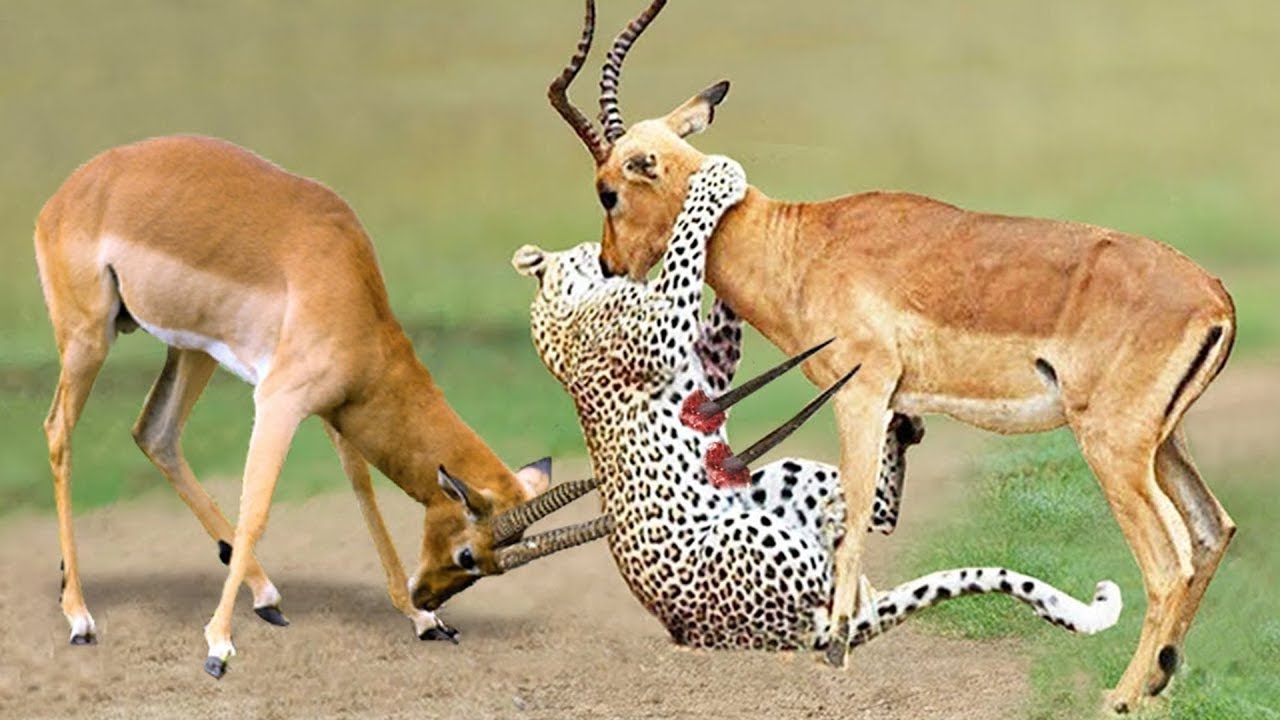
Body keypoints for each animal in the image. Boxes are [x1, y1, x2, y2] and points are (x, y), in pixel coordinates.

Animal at [34, 134, 612, 679]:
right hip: (89, 338)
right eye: (468, 555)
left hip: (192, 349)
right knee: (59, 429)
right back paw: (80, 618)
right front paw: (218, 648)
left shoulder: (337, 410)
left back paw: (267, 596)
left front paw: (422, 621)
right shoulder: (279, 401)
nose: (426, 594)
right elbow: (258, 508)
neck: (345, 283)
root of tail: (65, 196)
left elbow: (365, 496)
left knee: (155, 432)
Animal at [545, 0, 1237, 711]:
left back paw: (1122, 696)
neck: (801, 244)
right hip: (1164, 444)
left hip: (1113, 449)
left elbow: (851, 513)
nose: (611, 266)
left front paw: (837, 645)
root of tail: (1213, 295)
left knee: (1169, 562)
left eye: (608, 190)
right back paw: (1157, 682)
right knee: (1213, 530)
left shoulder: (862, 395)